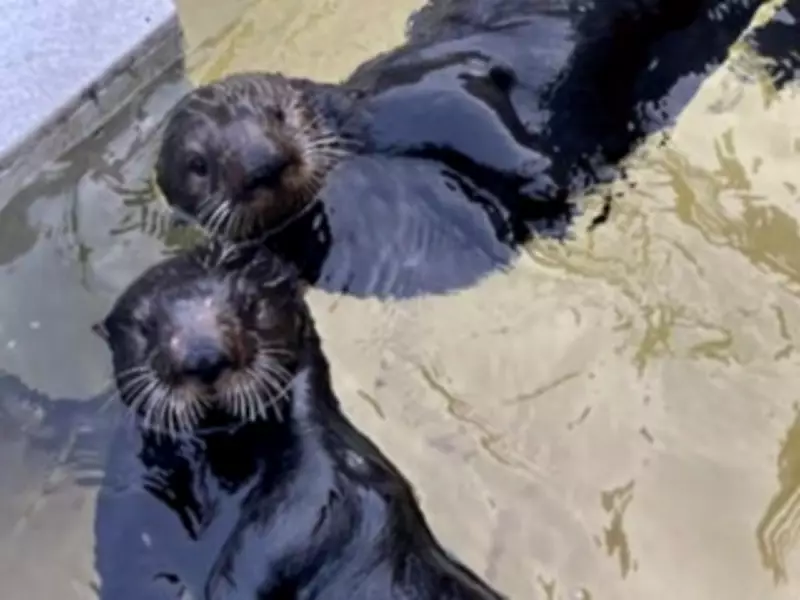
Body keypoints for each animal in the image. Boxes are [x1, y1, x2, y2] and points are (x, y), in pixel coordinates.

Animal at [156, 0, 767, 298]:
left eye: (276, 115)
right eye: (199, 166)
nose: (265, 163)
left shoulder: (423, 87)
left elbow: (473, 107)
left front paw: (545, 176)